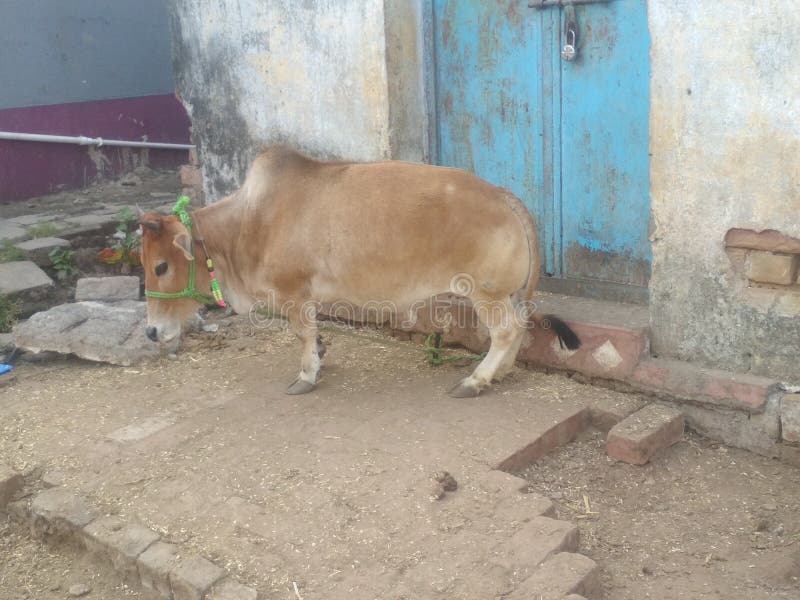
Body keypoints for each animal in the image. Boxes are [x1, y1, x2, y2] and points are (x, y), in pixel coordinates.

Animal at [139, 146, 580, 397]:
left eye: (161, 265)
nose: (151, 332)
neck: (248, 224)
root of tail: (504, 195)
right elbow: (313, 334)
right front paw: (319, 356)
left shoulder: (294, 293)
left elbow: (301, 334)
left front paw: (307, 375)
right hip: (505, 293)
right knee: (519, 327)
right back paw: (499, 374)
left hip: (485, 292)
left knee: (505, 331)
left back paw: (476, 380)